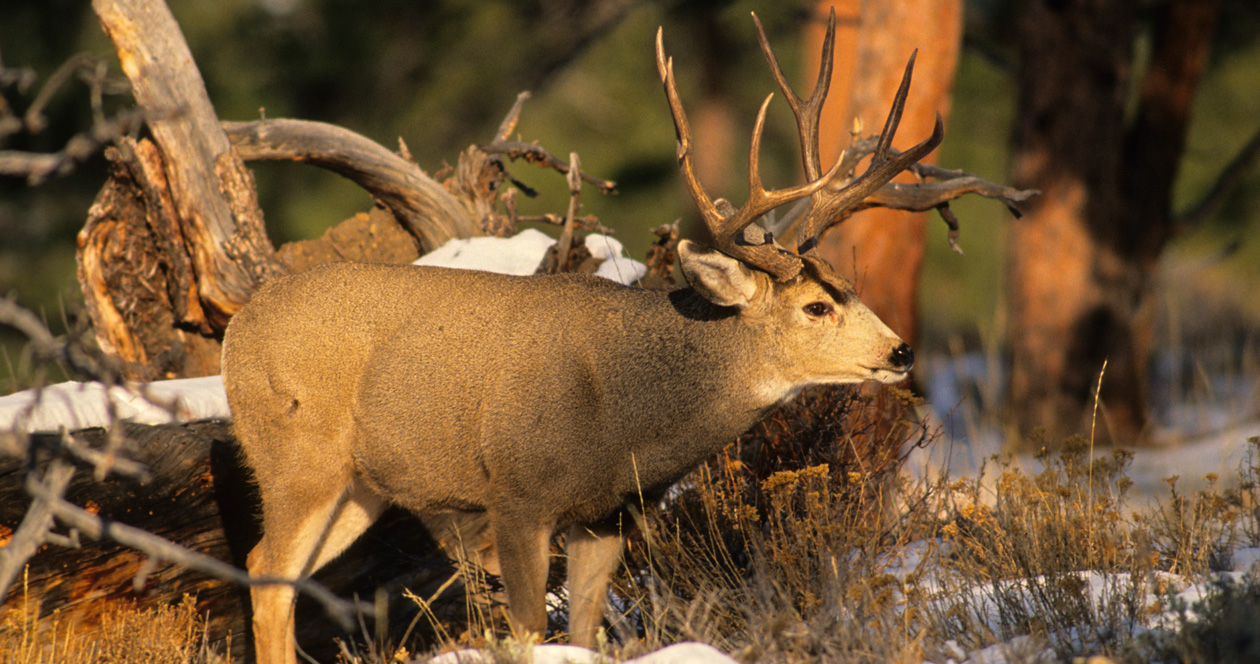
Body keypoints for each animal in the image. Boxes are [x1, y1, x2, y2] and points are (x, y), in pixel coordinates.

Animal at [222, 11, 943, 664]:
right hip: (297, 454)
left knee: (276, 571)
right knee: (265, 569)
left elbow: (586, 632)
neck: (623, 417)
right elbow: (526, 634)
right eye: (817, 306)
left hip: (361, 485)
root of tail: (237, 327)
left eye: (850, 285)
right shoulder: (516, 495)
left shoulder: (608, 515)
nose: (901, 351)